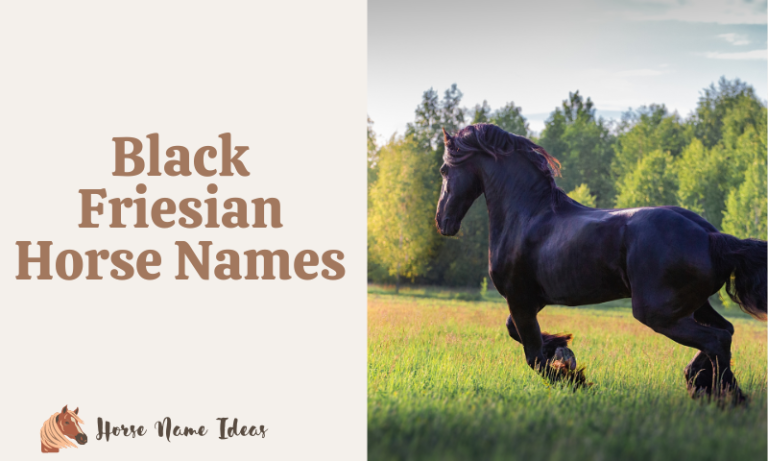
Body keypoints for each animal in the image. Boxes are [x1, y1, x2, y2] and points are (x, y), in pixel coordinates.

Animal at [435, 123, 766, 400]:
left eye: (443, 169)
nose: (443, 221)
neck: (527, 214)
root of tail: (710, 235)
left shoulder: (519, 298)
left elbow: (534, 357)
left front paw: (572, 376)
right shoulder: (535, 299)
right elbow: (515, 332)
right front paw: (562, 348)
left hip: (658, 312)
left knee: (716, 340)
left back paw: (724, 397)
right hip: (693, 305)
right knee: (725, 332)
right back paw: (703, 383)